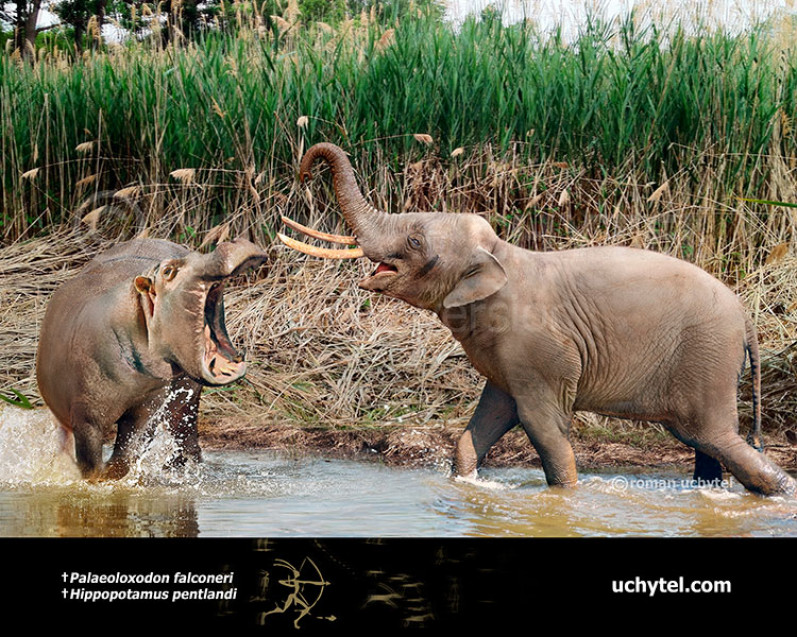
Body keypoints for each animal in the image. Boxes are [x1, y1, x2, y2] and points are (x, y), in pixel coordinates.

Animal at [36, 237, 268, 480]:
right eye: (167, 271)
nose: (232, 240)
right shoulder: (86, 418)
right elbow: (92, 467)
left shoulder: (147, 407)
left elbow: (126, 456)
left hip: (185, 400)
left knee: (186, 436)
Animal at [278, 142, 796, 497]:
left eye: (415, 243)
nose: (302, 172)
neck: (501, 253)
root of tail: (746, 316)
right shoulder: (508, 360)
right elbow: (490, 415)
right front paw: (466, 484)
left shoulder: (538, 351)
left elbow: (541, 424)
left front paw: (565, 498)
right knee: (705, 449)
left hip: (707, 359)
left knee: (713, 439)